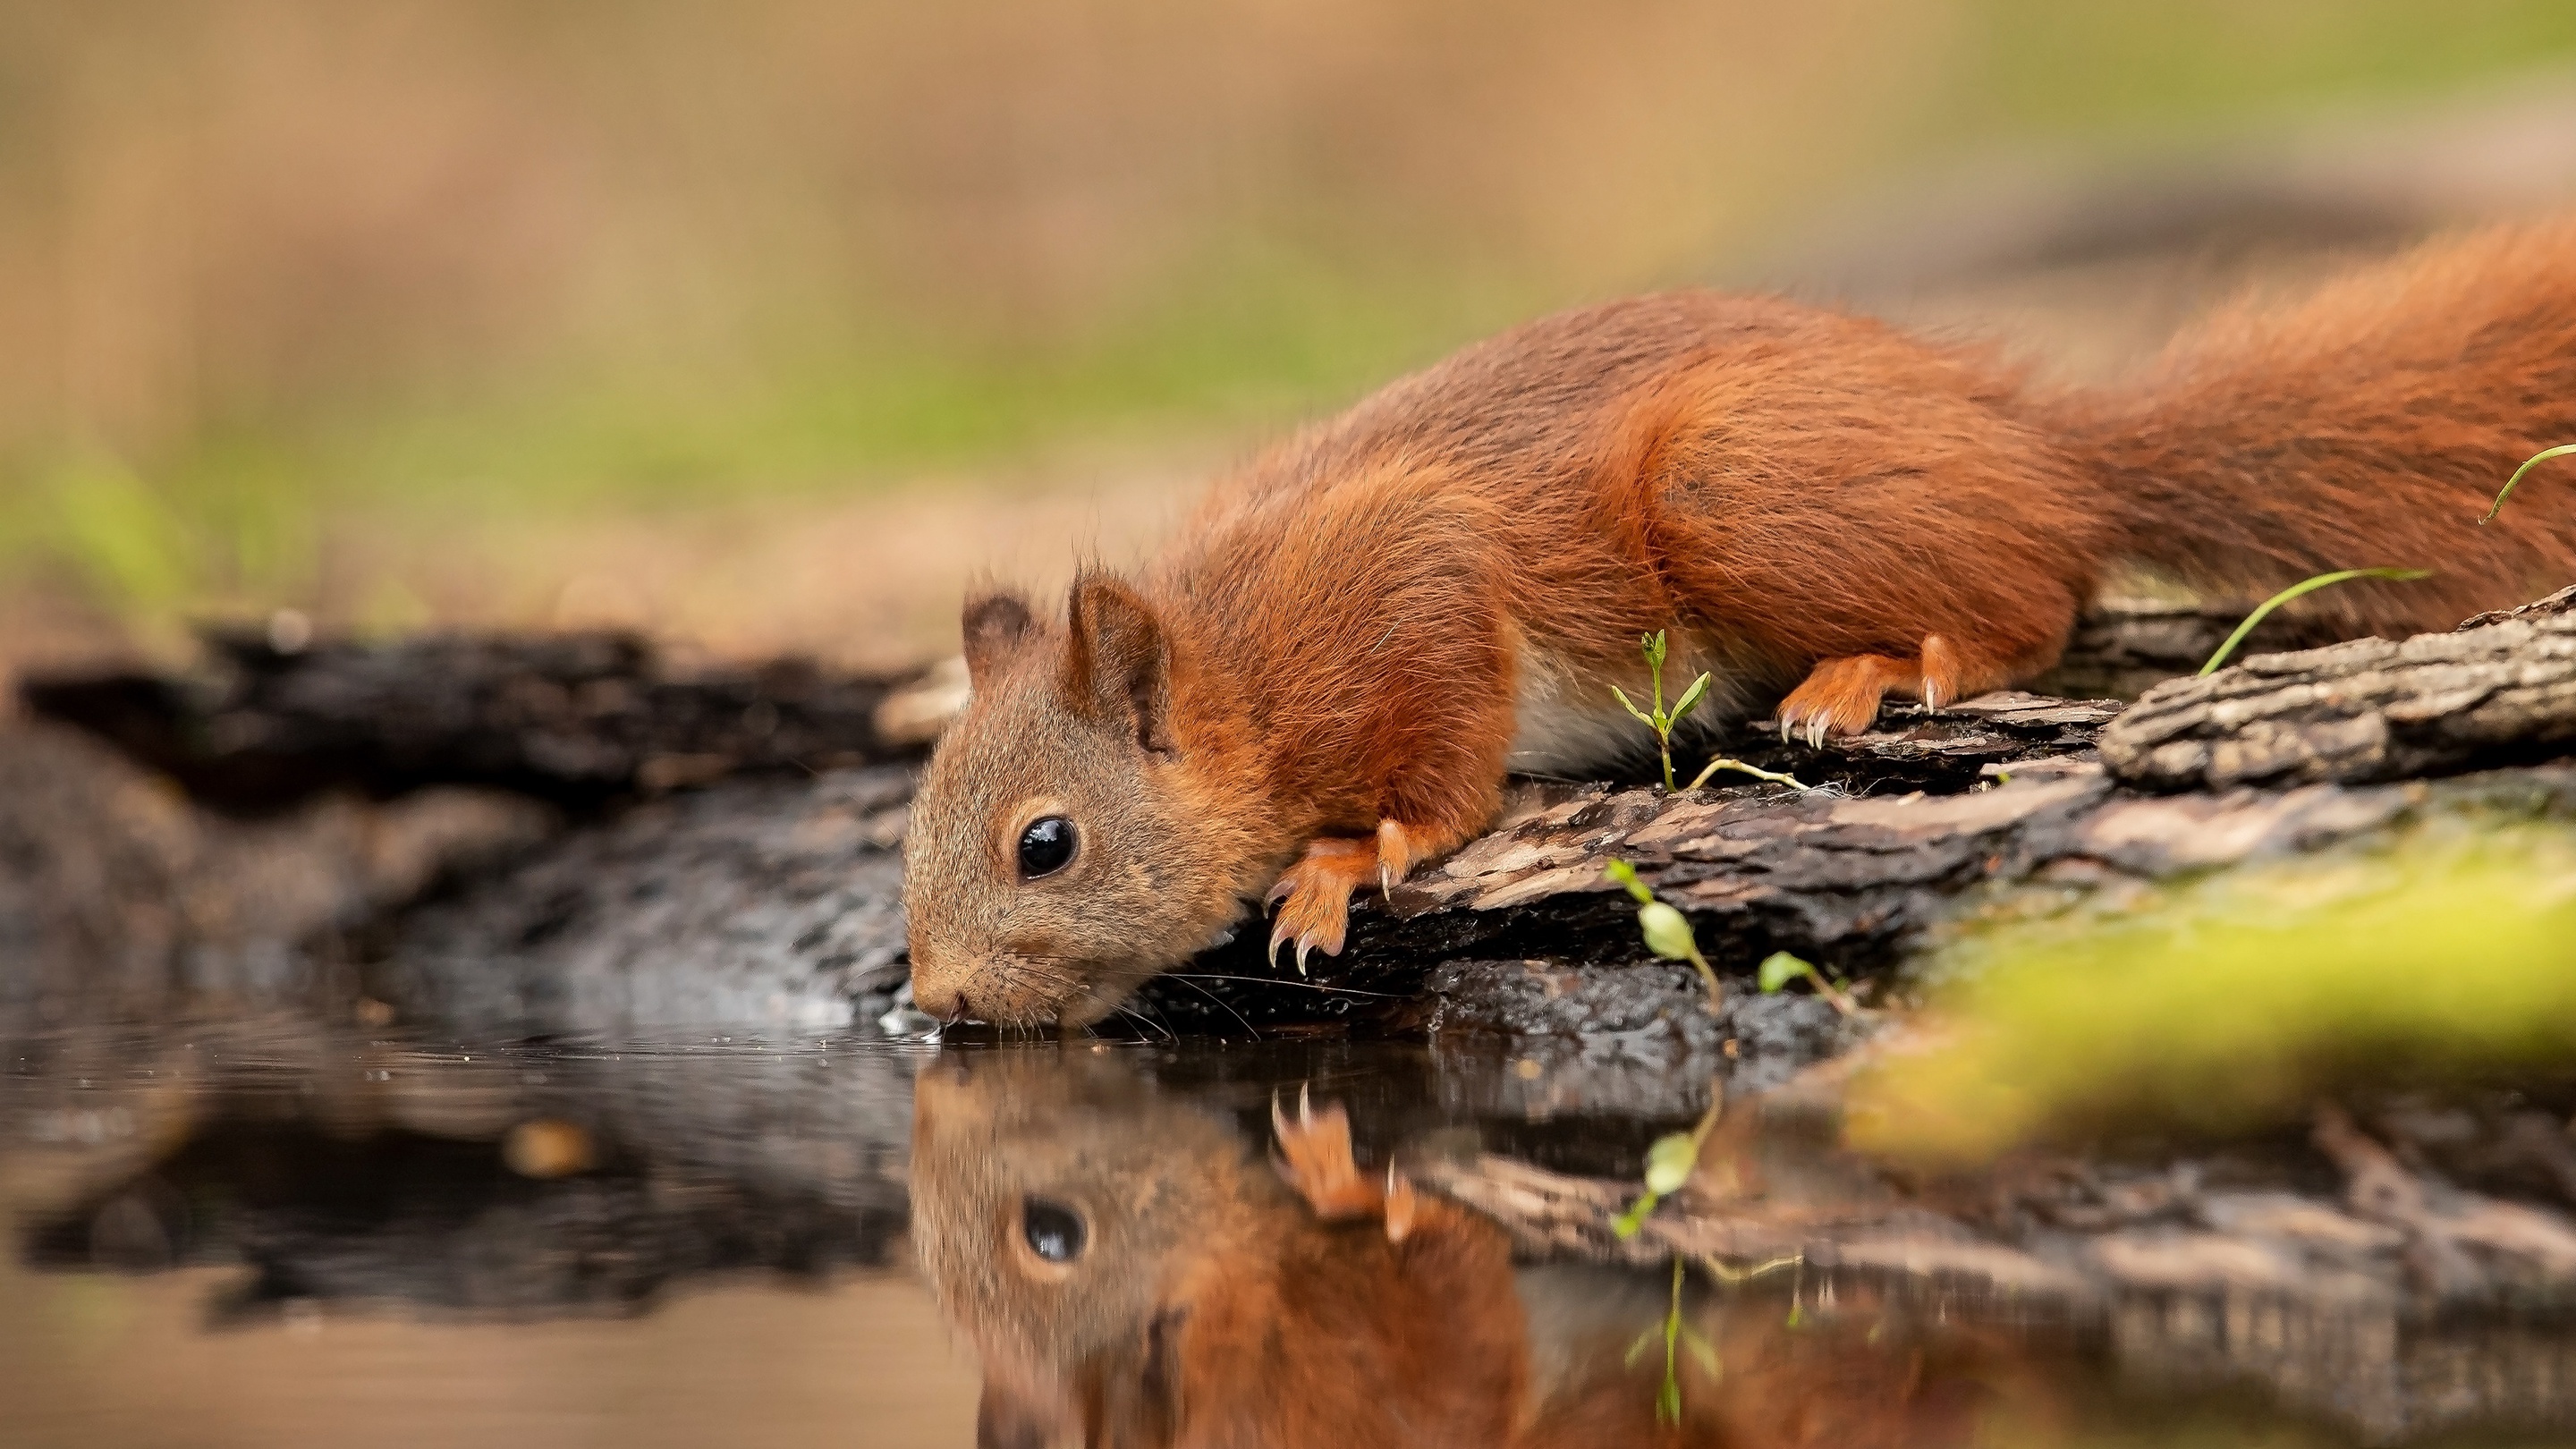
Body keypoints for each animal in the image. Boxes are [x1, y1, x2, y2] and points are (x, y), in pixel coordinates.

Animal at [905, 221, 2576, 1027]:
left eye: (1046, 845)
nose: (942, 1007)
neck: (1238, 674)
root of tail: (2035, 447)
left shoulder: (1410, 583)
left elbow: (1442, 767)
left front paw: (1342, 862)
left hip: (1730, 487)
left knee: (2042, 598)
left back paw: (1889, 667)